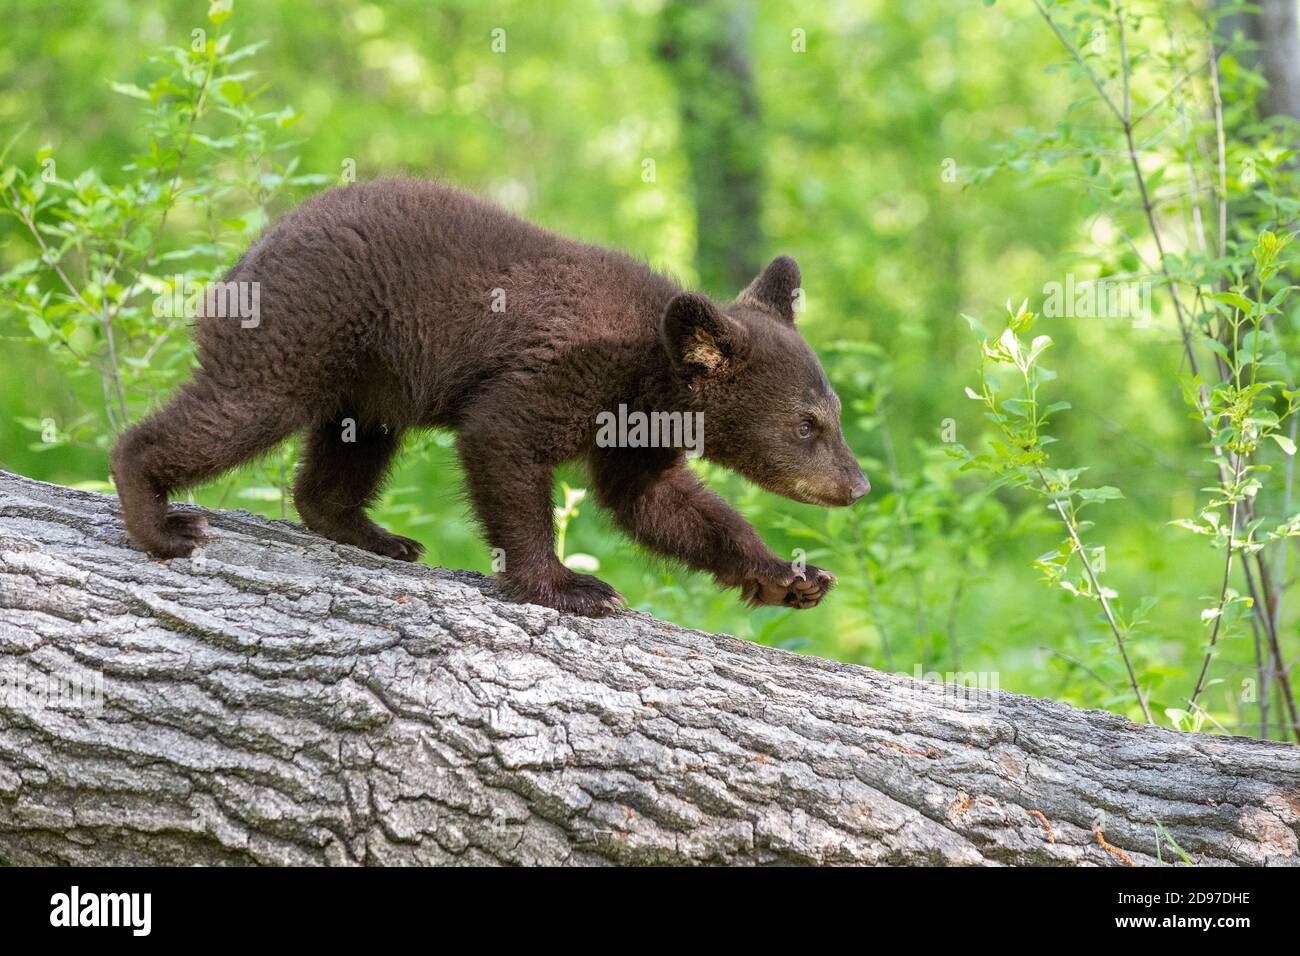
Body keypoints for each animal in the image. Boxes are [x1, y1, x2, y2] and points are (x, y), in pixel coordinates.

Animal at [110, 178, 870, 616]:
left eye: (832, 416)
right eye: (807, 425)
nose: (857, 484)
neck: (647, 371)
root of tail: (250, 251)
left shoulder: (636, 429)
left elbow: (659, 503)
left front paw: (790, 576)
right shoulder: (561, 368)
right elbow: (504, 441)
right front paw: (573, 586)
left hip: (368, 378)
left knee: (348, 448)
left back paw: (375, 534)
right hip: (304, 329)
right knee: (235, 412)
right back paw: (160, 519)